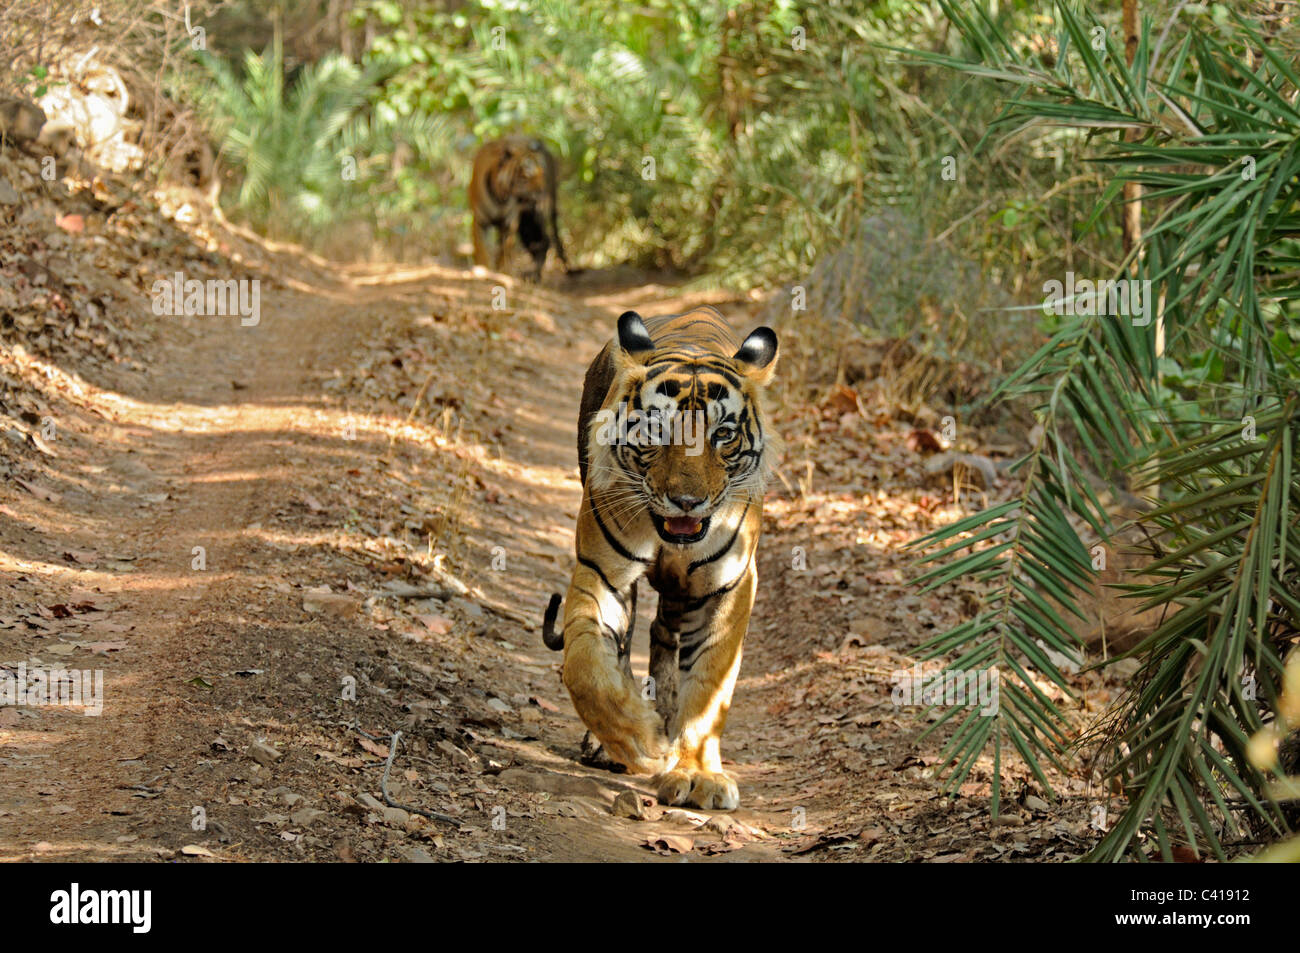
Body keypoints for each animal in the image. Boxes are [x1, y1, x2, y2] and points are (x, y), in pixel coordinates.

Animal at [469, 135, 571, 281]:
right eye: (527, 176)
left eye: (542, 174)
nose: (542, 192)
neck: (501, 198)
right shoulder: (479, 221)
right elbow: (481, 248)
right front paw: (483, 269)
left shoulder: (510, 222)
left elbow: (505, 248)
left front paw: (503, 271)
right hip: (527, 226)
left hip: (533, 219)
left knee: (545, 241)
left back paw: (534, 276)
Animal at [541, 306, 779, 810]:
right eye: (656, 432)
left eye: (722, 435)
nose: (687, 501)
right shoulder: (602, 571)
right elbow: (586, 669)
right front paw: (643, 744)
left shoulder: (730, 585)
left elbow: (708, 684)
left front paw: (699, 774)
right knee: (629, 640)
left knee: (665, 633)